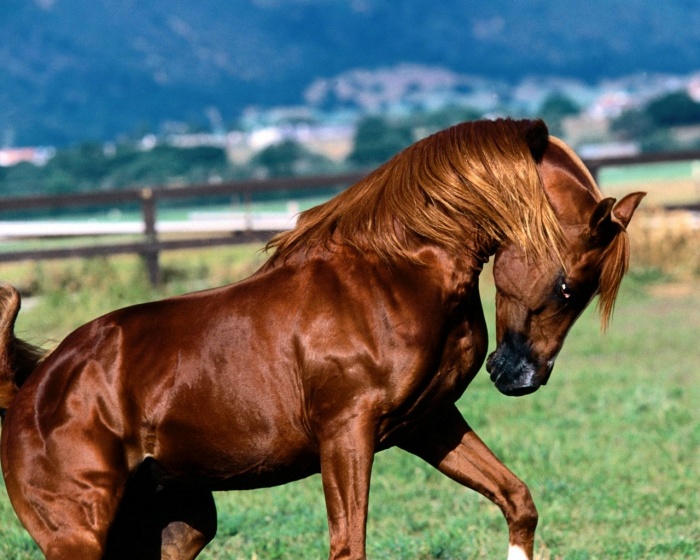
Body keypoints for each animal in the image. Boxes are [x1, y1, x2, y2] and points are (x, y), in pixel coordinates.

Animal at [0, 118, 644, 560]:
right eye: (568, 286)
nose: (520, 377)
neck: (395, 274)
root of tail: (33, 388)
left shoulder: (427, 423)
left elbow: (517, 500)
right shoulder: (346, 435)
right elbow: (348, 544)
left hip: (178, 525)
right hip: (80, 535)